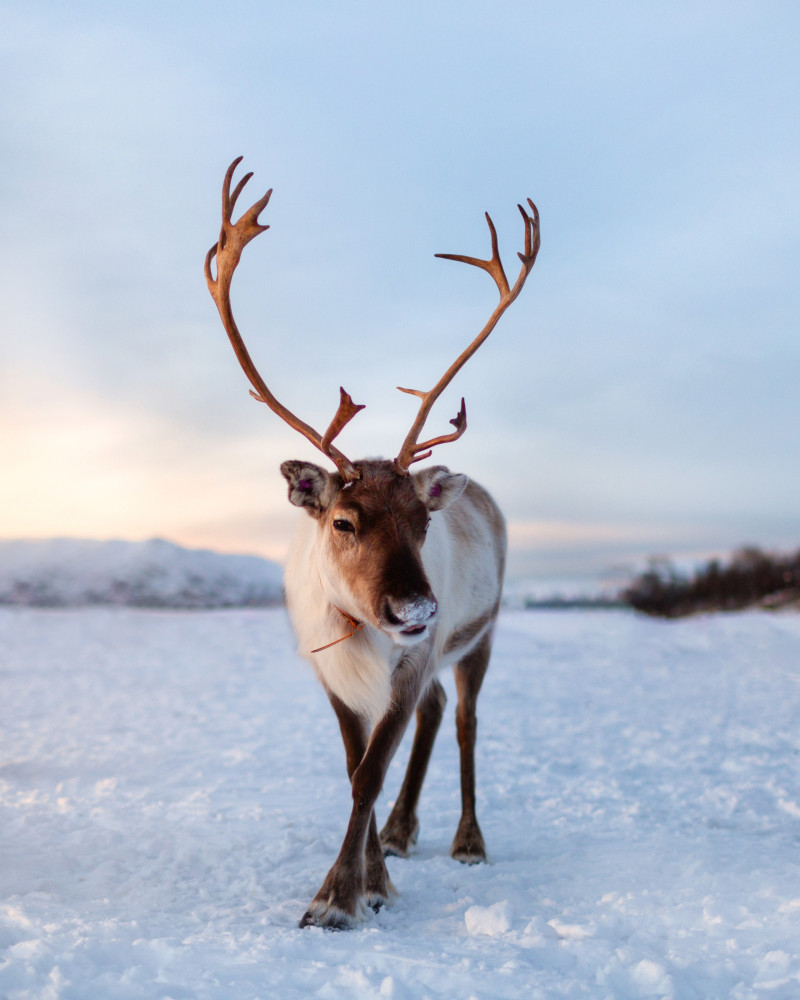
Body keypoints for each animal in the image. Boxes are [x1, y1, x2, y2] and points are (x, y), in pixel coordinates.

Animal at [205, 157, 539, 929]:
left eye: (422, 521)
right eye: (343, 521)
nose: (416, 609)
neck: (358, 626)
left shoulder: (409, 664)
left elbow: (371, 773)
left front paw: (339, 897)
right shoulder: (332, 673)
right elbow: (355, 768)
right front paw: (374, 876)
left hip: (480, 634)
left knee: (465, 719)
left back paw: (467, 839)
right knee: (439, 713)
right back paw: (401, 831)